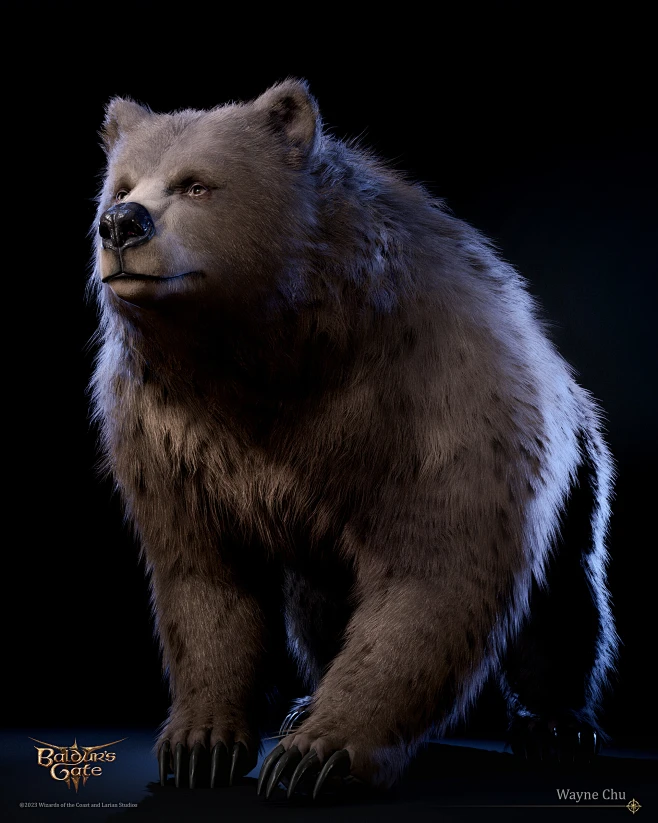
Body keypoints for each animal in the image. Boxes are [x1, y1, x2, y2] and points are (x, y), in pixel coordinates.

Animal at [89, 79, 617, 798]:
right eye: (121, 185)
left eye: (196, 184)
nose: (121, 224)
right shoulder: (167, 435)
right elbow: (204, 576)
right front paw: (200, 743)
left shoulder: (435, 401)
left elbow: (435, 575)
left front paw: (317, 755)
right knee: (320, 610)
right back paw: (303, 699)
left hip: (578, 460)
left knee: (566, 597)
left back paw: (558, 722)